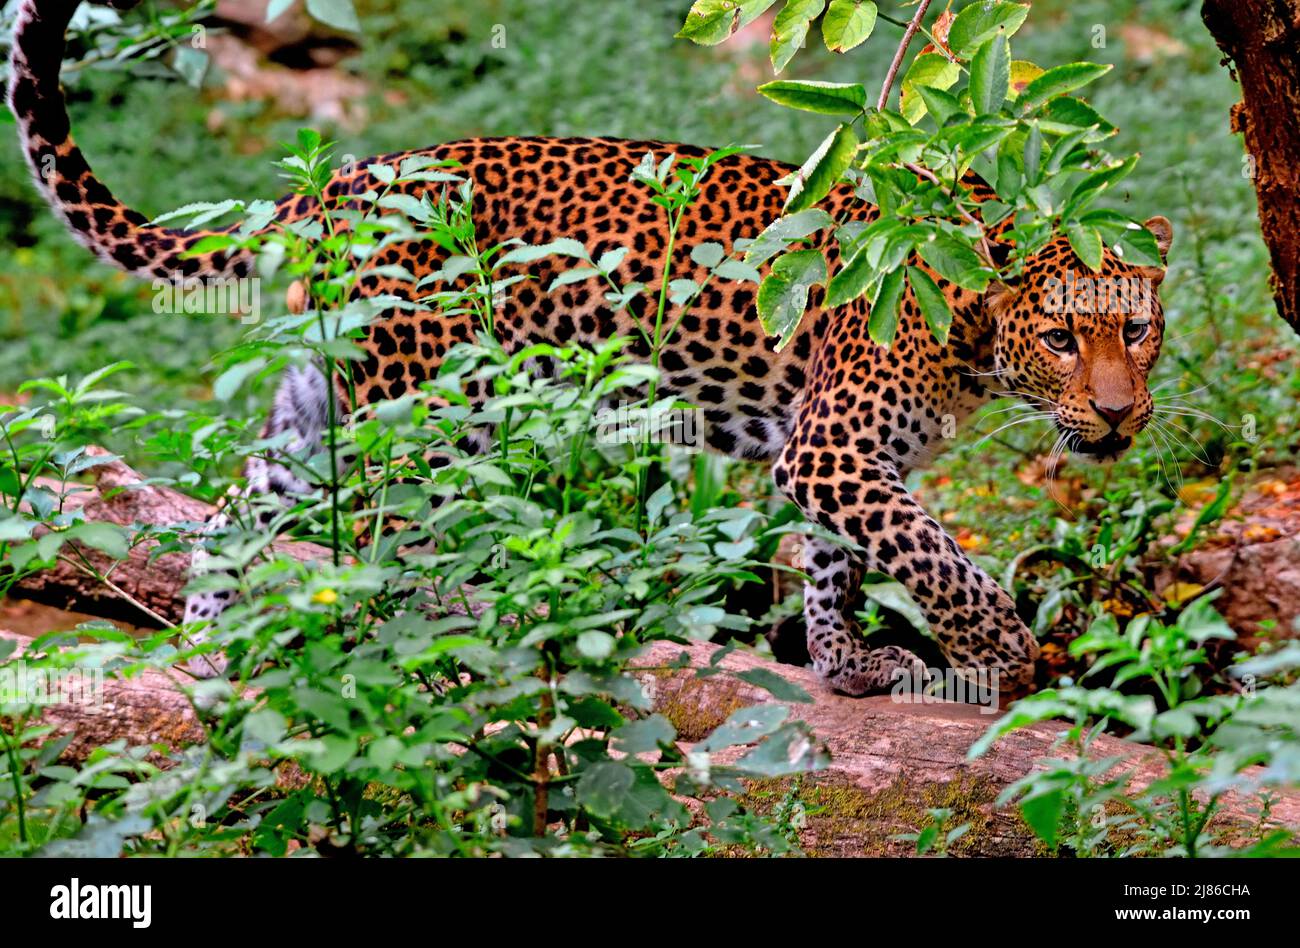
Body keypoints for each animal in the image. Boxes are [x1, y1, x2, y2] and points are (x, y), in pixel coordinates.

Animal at [9, 0, 1173, 696]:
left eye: (1137, 329)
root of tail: (335, 183)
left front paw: (846, 663)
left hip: (322, 406)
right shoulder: (835, 449)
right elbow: (937, 559)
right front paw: (998, 652)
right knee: (385, 543)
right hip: (425, 412)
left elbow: (839, 564)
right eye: (1062, 337)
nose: (1119, 413)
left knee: (238, 511)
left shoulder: (844, 460)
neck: (973, 336)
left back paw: (210, 659)